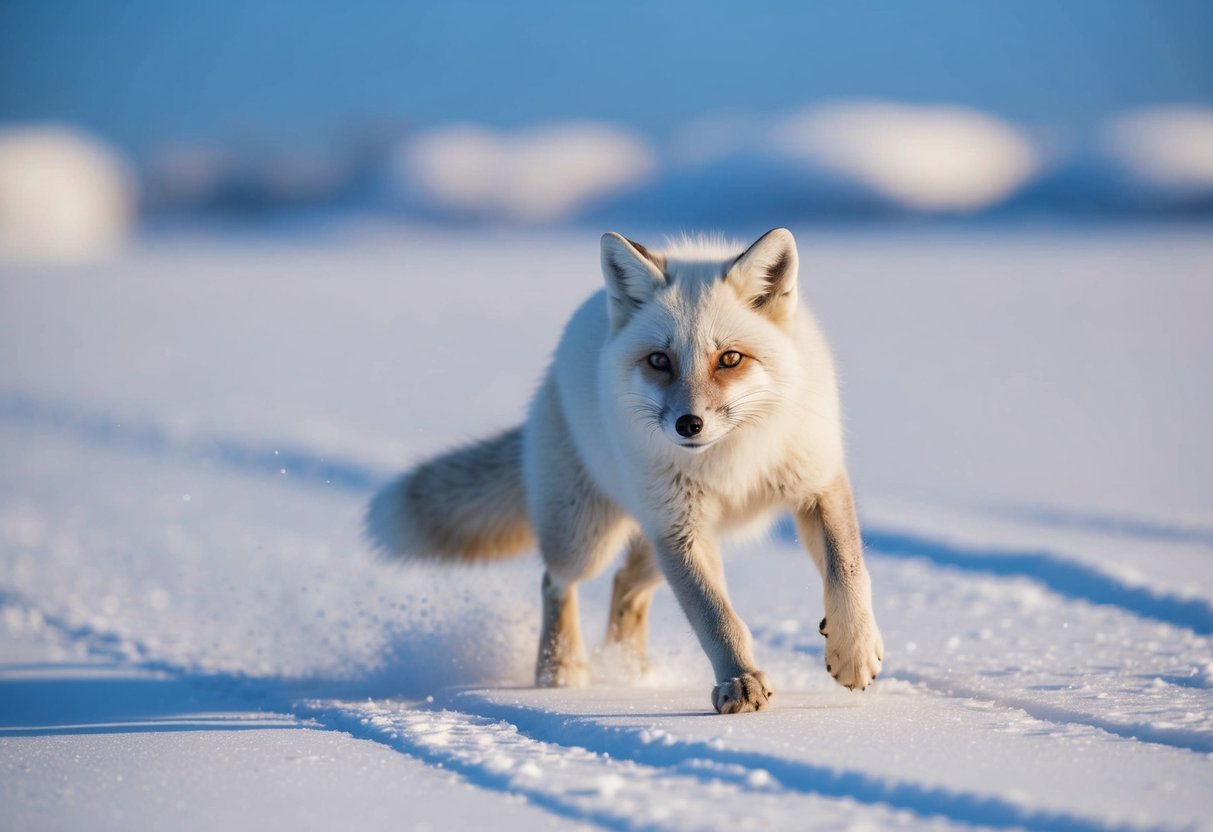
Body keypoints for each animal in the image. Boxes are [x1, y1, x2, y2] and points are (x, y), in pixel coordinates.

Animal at [366, 228, 884, 714]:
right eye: (659, 360)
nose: (688, 424)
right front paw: (740, 679)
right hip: (593, 538)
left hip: (658, 544)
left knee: (625, 588)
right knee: (557, 581)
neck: (731, 460)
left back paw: (630, 674)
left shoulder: (817, 485)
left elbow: (847, 572)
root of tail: (549, 379)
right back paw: (562, 670)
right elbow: (716, 616)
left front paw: (854, 650)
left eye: (730, 358)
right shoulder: (680, 529)